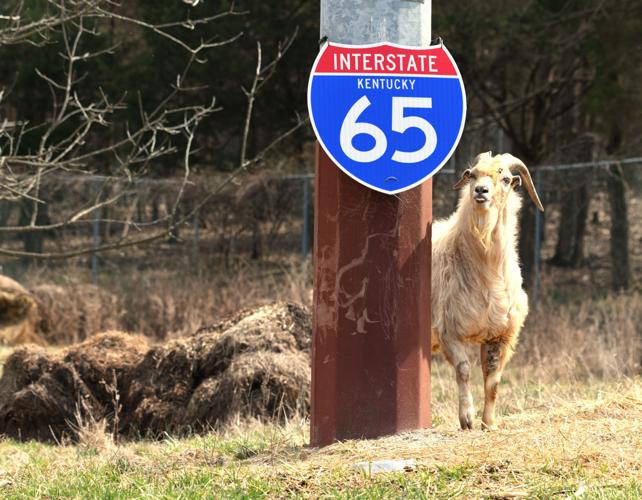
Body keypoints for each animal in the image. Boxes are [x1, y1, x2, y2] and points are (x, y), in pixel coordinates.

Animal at [432, 152, 544, 430]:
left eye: (505, 179)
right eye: (472, 175)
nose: (481, 191)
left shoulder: (500, 335)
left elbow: (493, 381)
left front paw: (489, 423)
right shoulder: (449, 332)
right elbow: (463, 370)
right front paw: (467, 419)